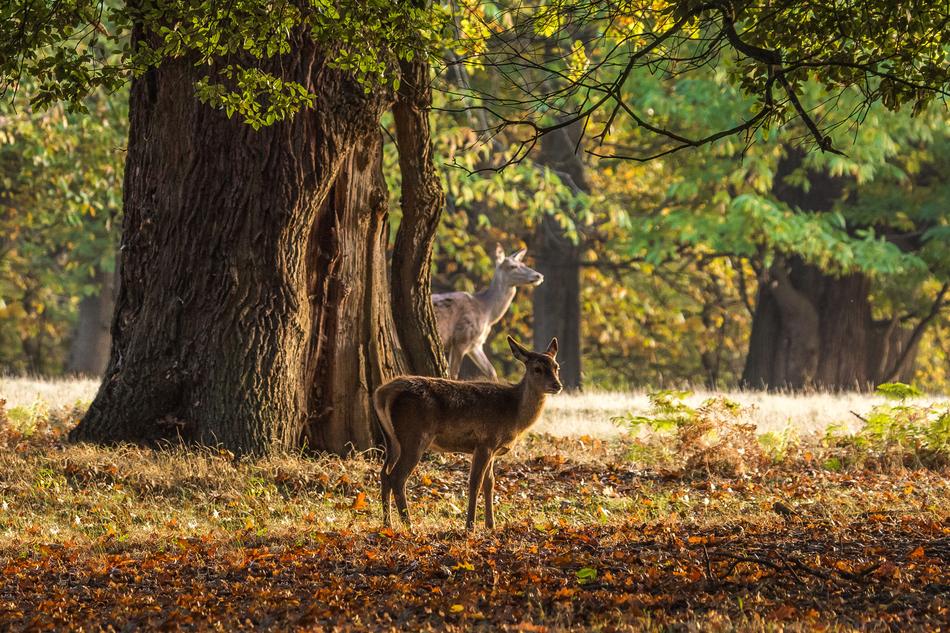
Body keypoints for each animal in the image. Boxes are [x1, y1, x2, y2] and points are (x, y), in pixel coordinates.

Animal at [373, 336, 562, 531]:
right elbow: (475, 483)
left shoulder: (493, 448)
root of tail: (382, 393)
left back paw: (387, 524)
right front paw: (470, 526)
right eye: (537, 369)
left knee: (384, 474)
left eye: (556, 367)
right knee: (397, 477)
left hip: (392, 440)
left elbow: (490, 483)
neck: (514, 413)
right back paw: (408, 525)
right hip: (414, 436)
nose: (557, 385)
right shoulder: (485, 442)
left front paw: (490, 525)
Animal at [433, 244, 543, 380]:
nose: (538, 276)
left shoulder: (476, 343)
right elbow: (453, 374)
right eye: (513, 266)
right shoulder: (461, 338)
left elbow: (492, 371)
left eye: (522, 263)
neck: (487, 313)